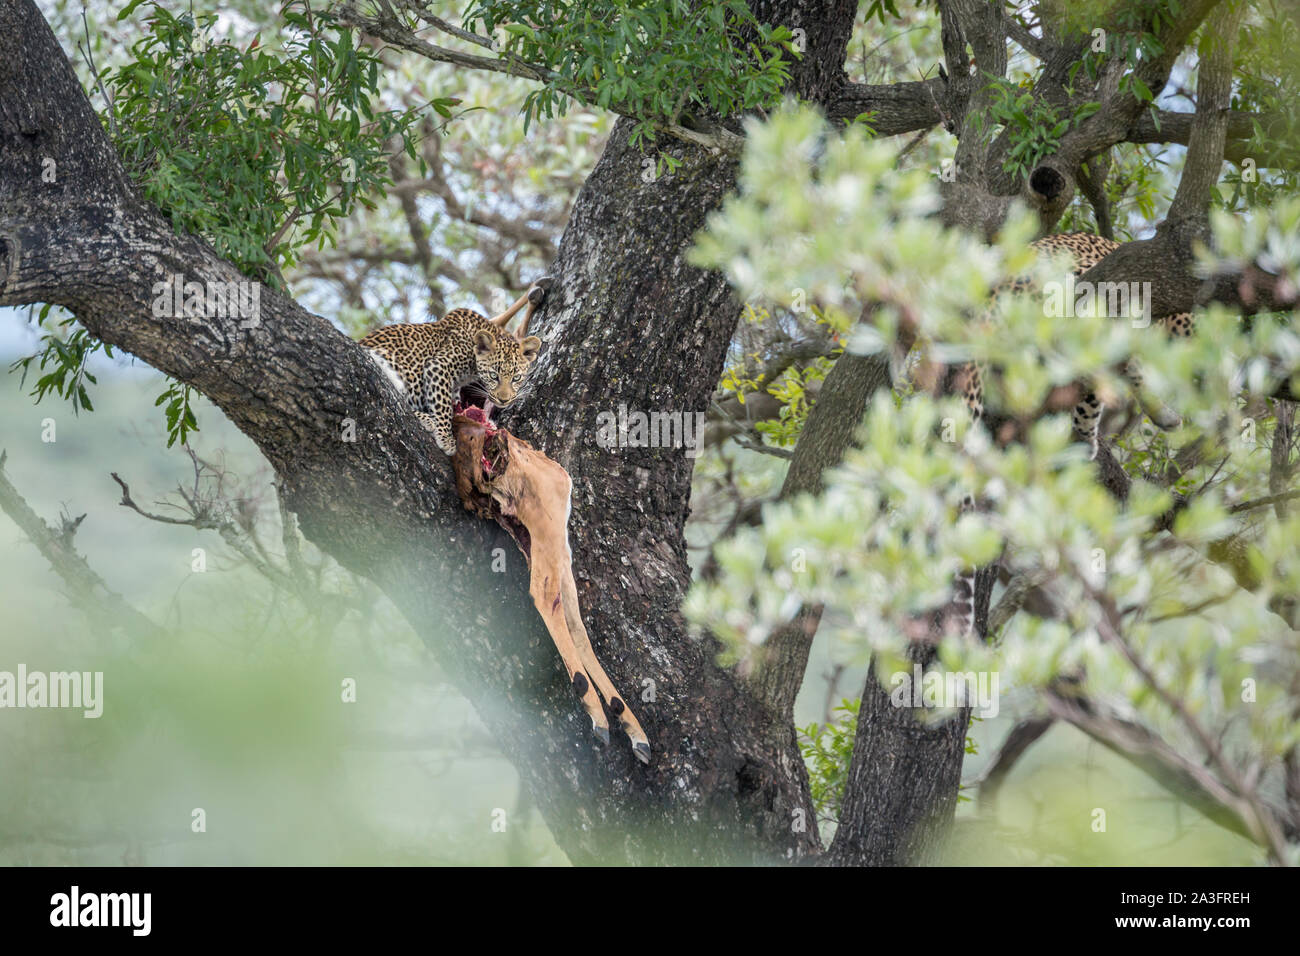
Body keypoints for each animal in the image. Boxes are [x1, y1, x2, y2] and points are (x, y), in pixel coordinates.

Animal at [358, 278, 550, 455]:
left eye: (516, 378)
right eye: (493, 376)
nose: (504, 400)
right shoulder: (438, 366)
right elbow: (443, 406)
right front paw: (446, 439)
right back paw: (427, 419)